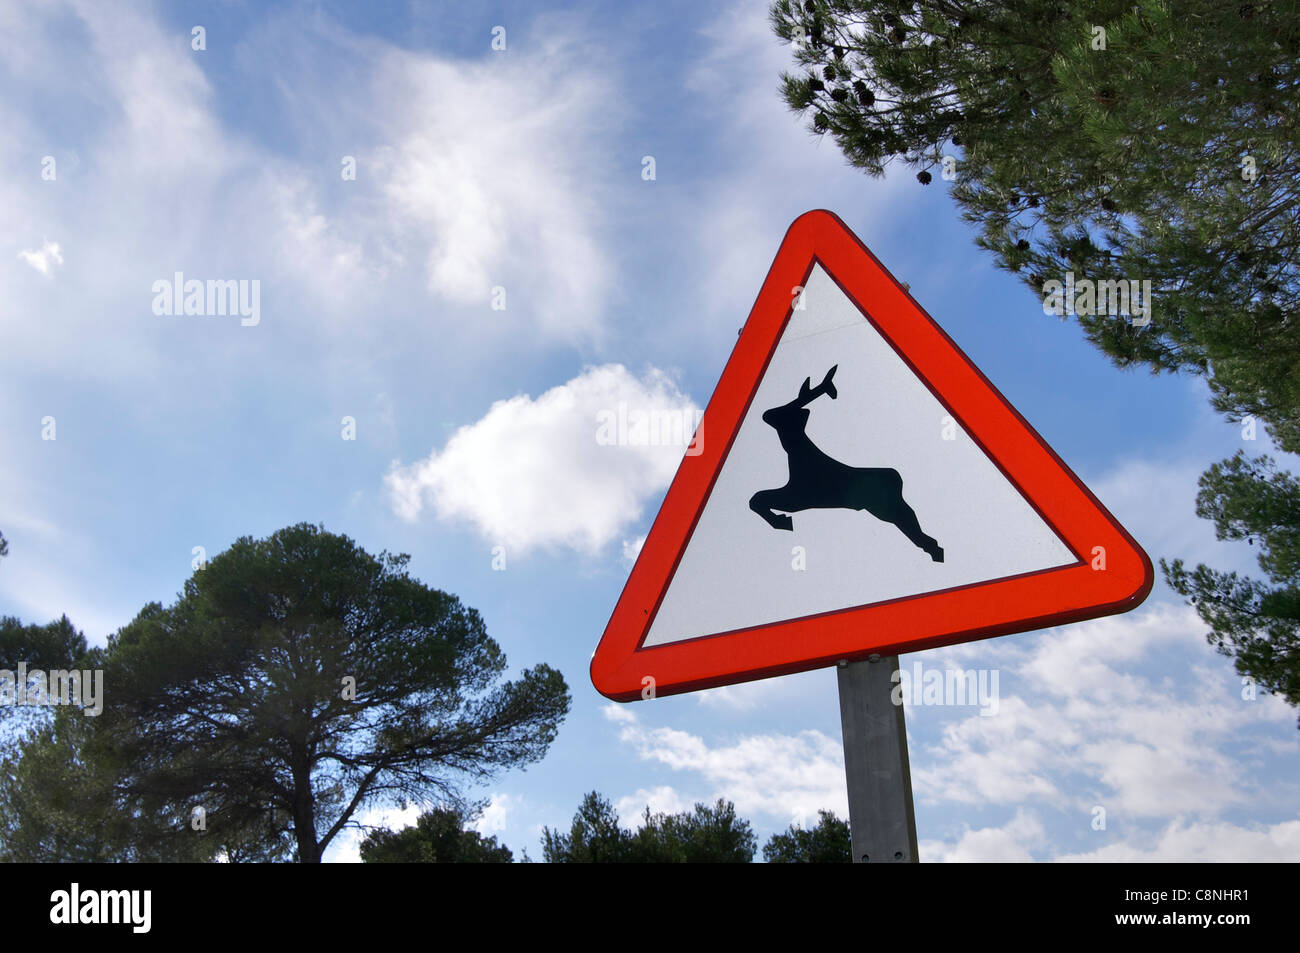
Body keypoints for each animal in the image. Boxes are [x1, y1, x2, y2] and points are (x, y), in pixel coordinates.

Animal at [748, 365, 944, 562]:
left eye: (784, 412)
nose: (766, 414)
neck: (796, 453)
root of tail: (897, 477)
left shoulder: (799, 497)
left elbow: (757, 498)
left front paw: (782, 520)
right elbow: (757, 498)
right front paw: (782, 519)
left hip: (884, 507)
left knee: (910, 521)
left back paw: (936, 551)